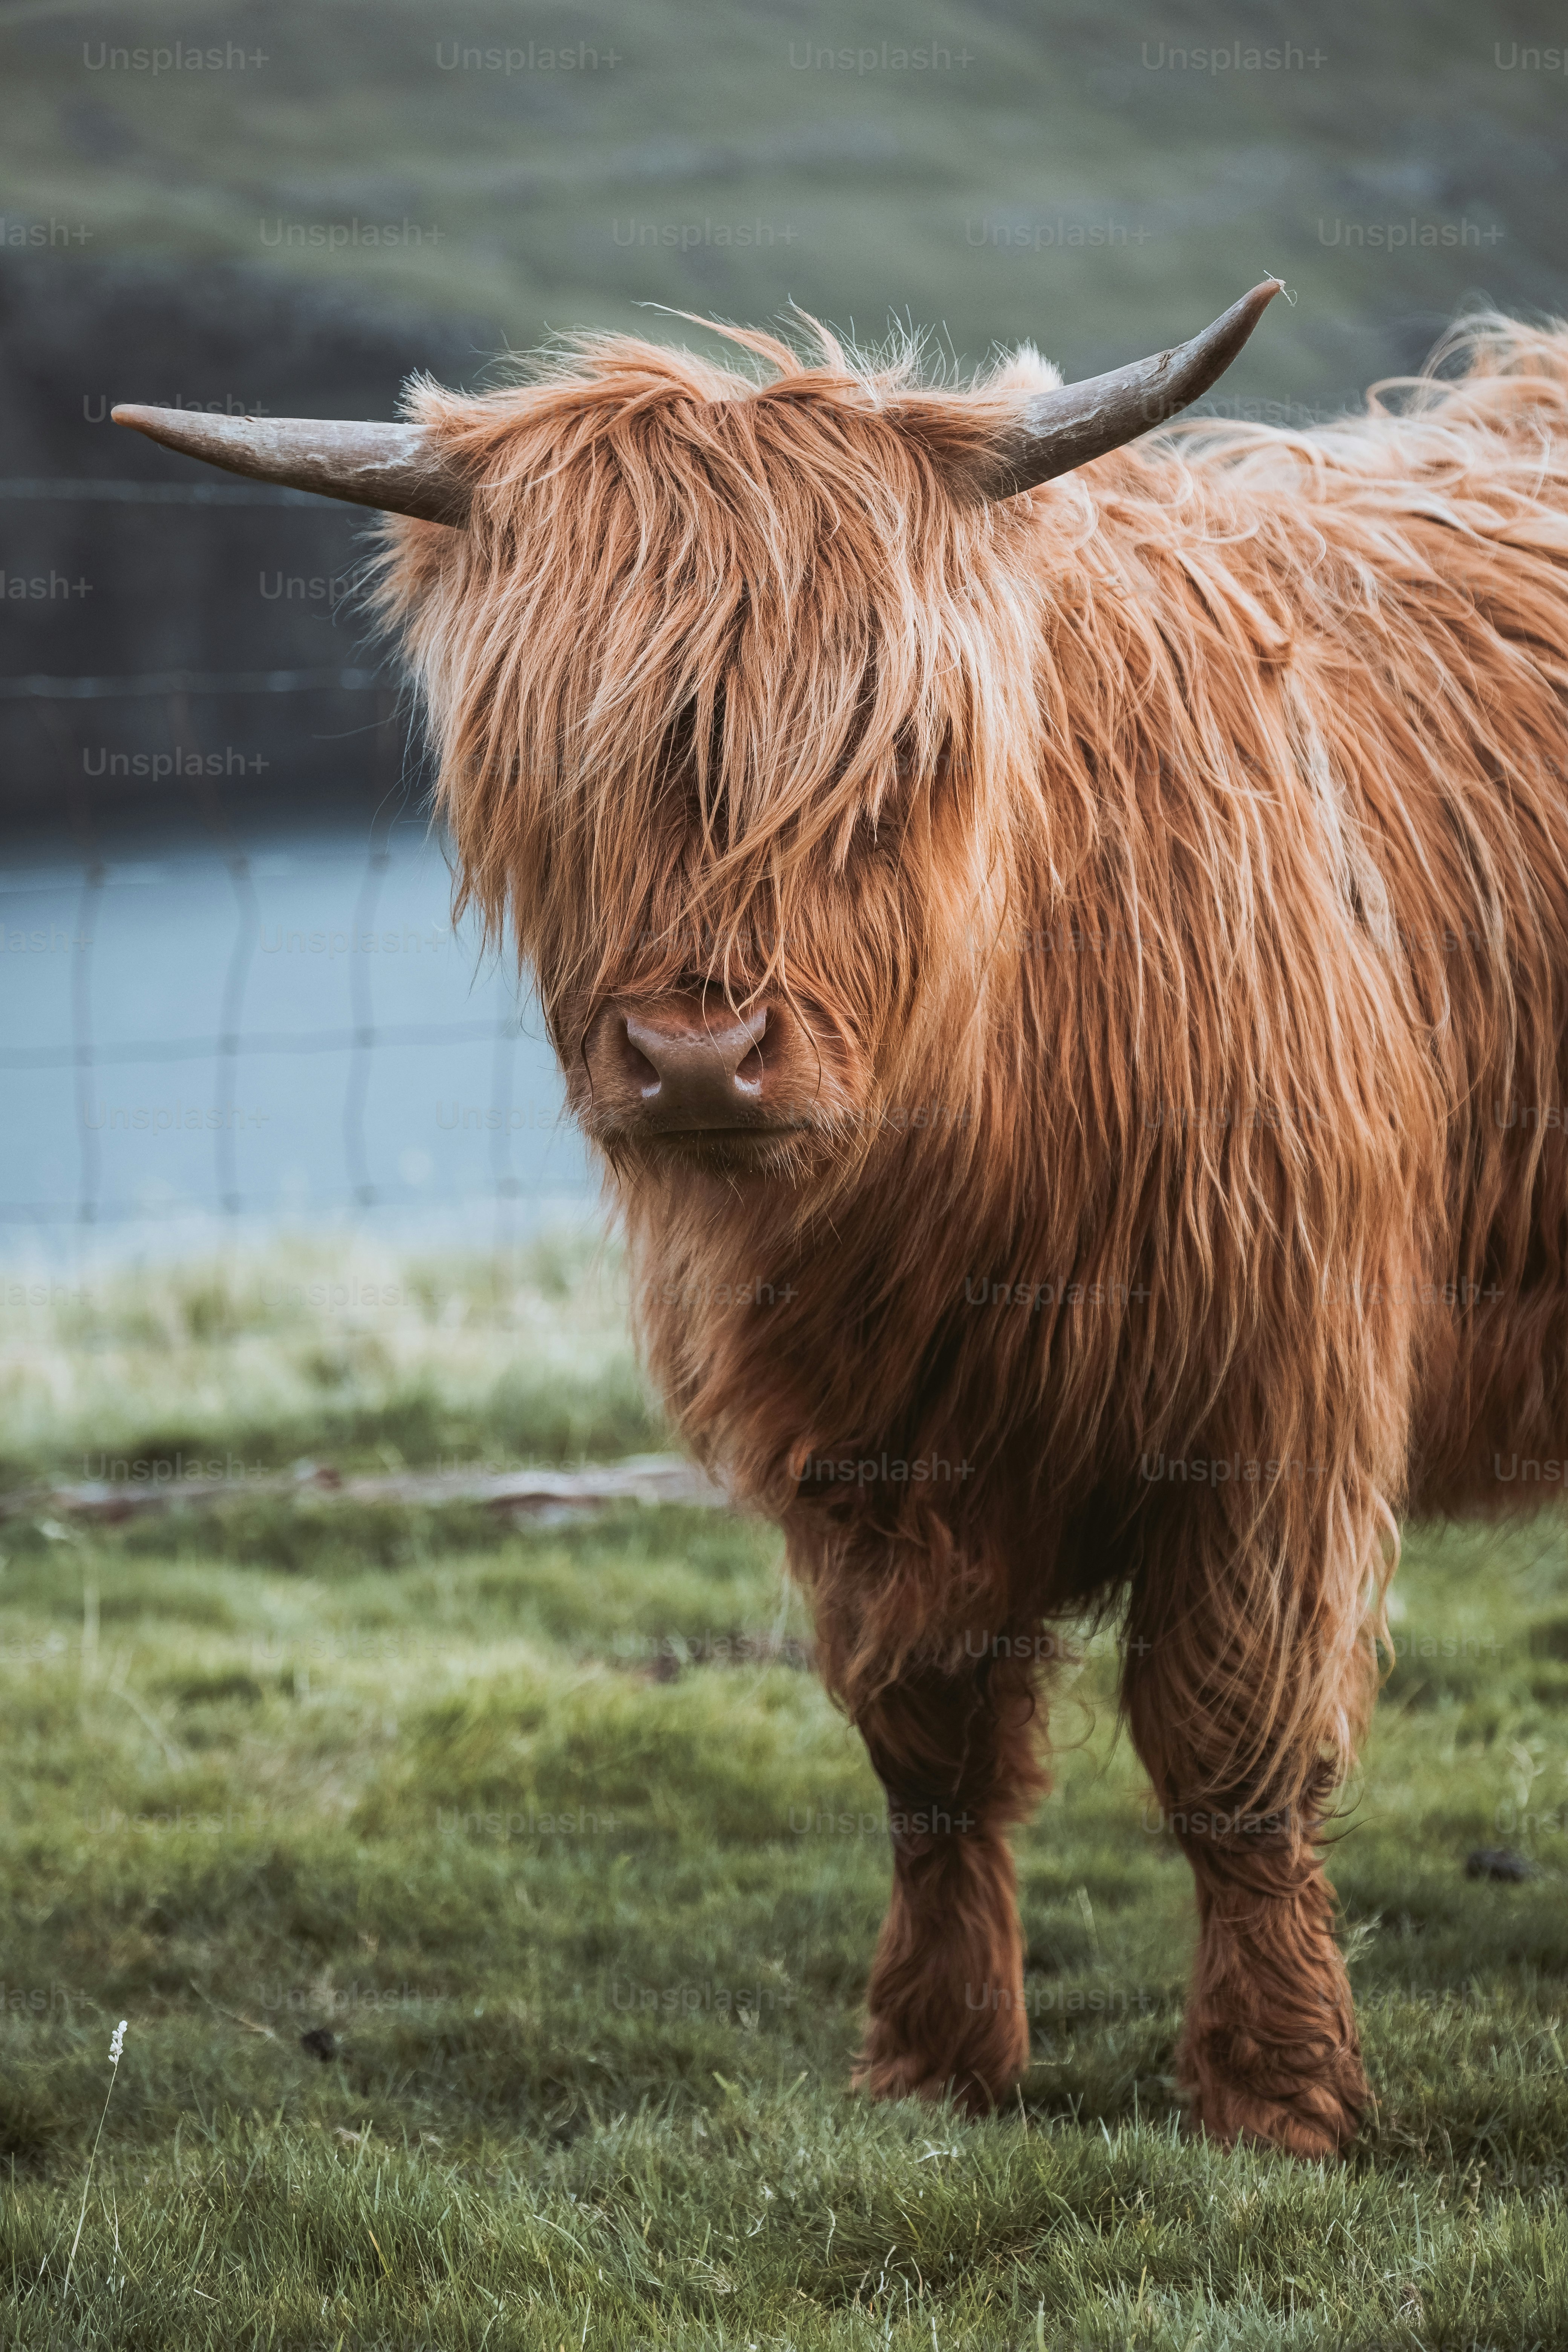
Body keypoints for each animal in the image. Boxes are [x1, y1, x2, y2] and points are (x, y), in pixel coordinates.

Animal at [115, 278, 1568, 2157]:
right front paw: (934, 2058)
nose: (697, 1055)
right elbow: (930, 1748)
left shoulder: (1269, 1403)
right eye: (556, 771)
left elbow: (1233, 1750)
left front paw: (1275, 2090)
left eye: (894, 760)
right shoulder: (861, 1447)